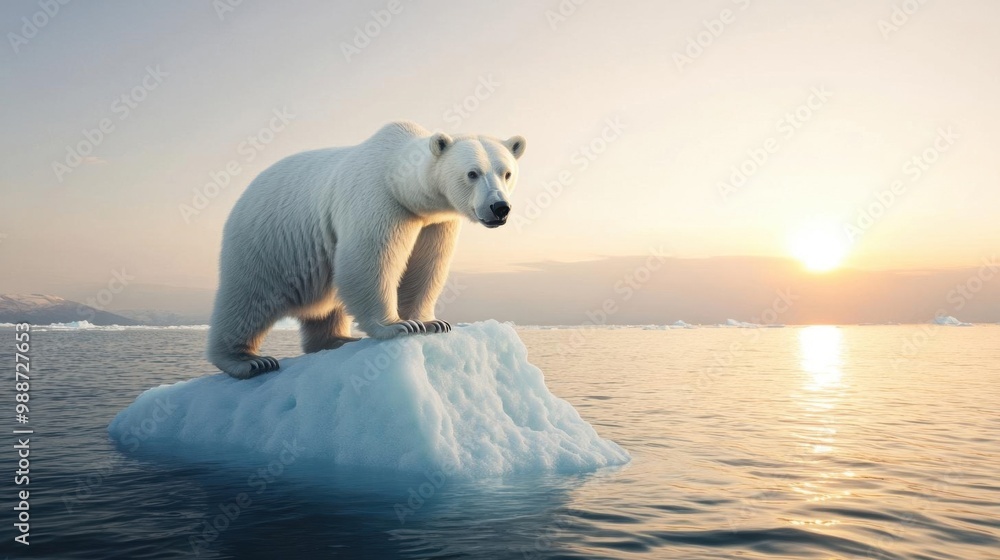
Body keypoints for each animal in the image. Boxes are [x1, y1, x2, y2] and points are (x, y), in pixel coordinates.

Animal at [207, 121, 526, 379]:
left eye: (506, 173)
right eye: (472, 173)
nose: (499, 208)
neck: (398, 179)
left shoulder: (436, 222)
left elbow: (427, 266)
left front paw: (433, 322)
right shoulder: (379, 200)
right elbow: (369, 260)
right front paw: (400, 326)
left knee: (327, 305)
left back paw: (338, 339)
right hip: (267, 241)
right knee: (249, 298)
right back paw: (248, 361)